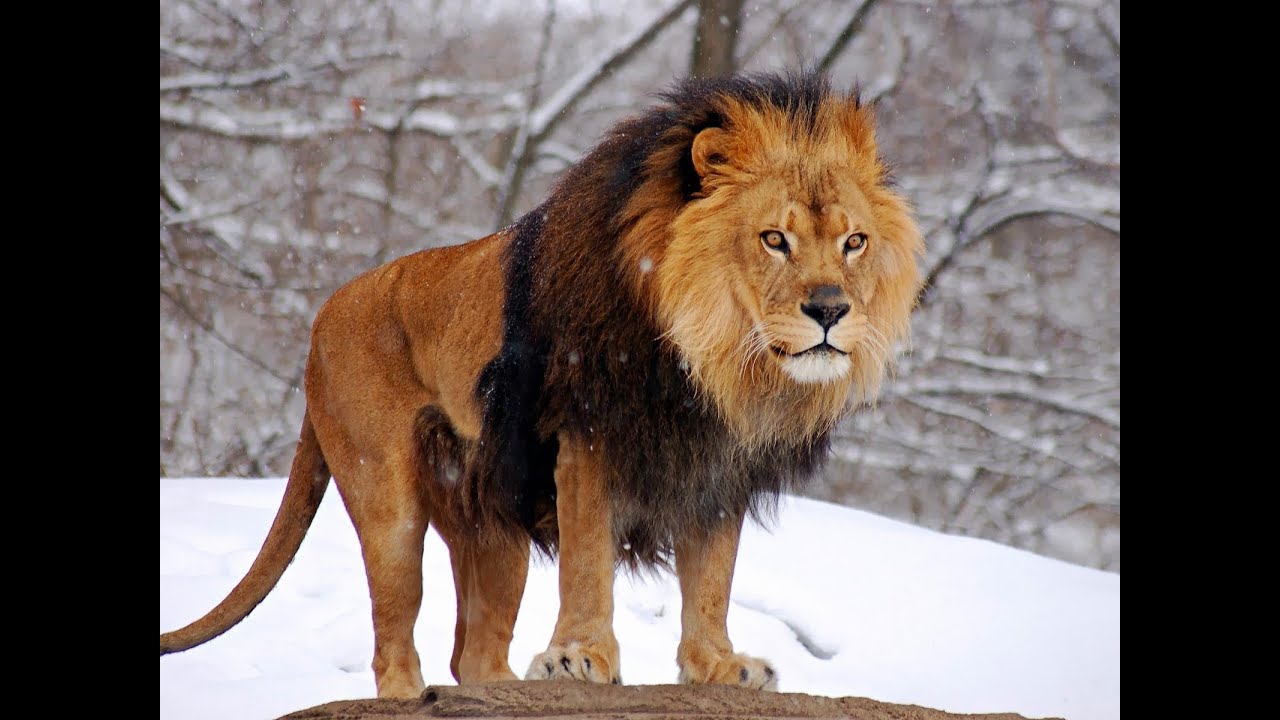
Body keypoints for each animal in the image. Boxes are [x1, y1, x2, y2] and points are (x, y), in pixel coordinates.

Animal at [159, 69, 924, 698]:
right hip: (388, 501)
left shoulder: (716, 468)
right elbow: (588, 558)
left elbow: (712, 578)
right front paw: (581, 657)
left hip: (494, 529)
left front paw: (718, 665)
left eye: (854, 243)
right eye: (774, 239)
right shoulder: (586, 433)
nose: (830, 311)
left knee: (472, 654)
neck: (710, 361)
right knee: (394, 637)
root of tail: (320, 320)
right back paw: (411, 694)